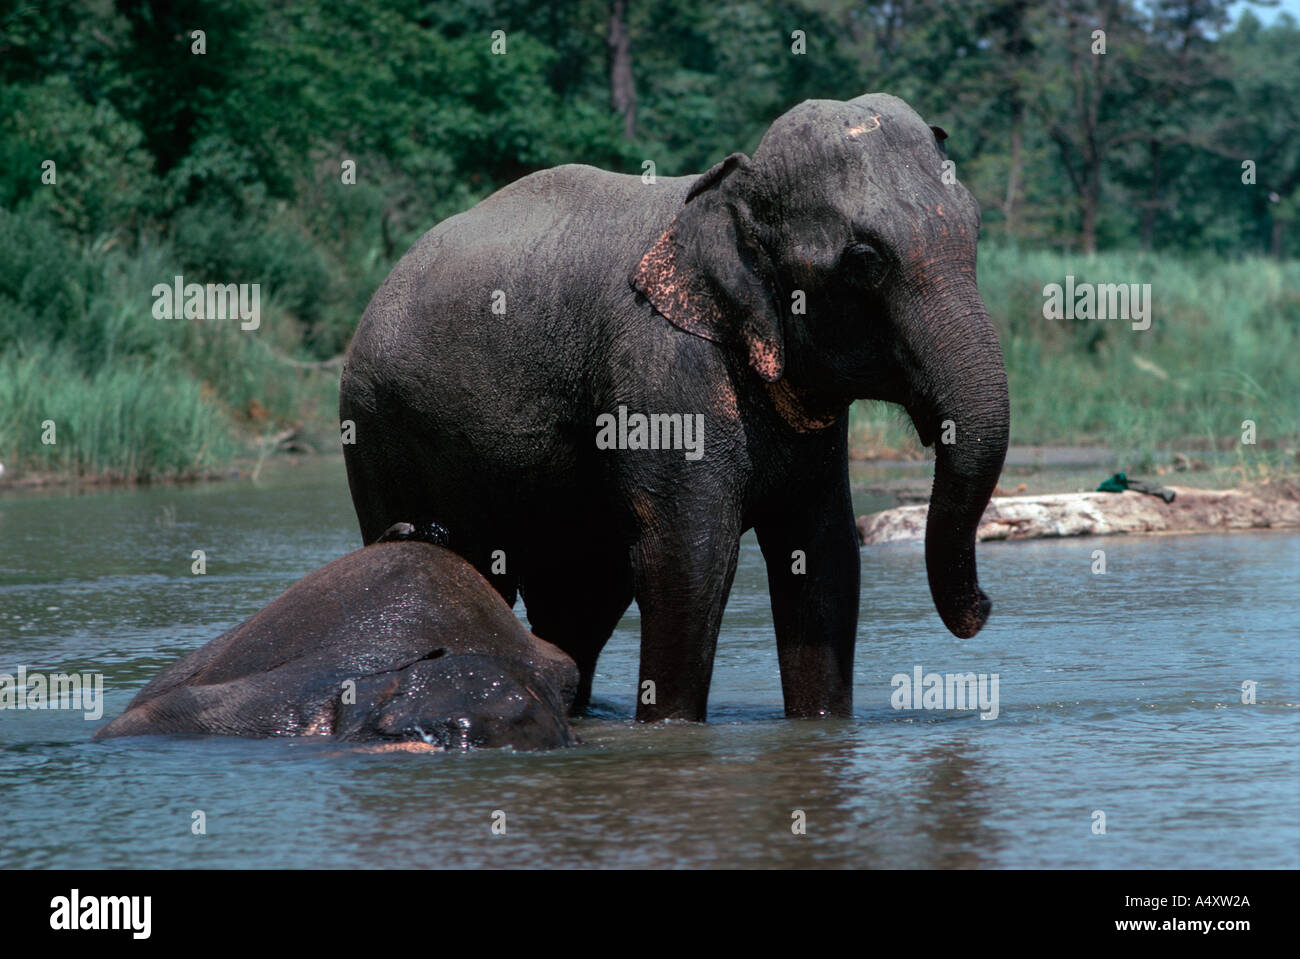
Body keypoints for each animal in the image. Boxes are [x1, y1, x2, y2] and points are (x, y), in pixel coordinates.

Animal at [339, 92, 1010, 723]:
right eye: (864, 261)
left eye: (978, 230)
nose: (984, 608)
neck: (732, 185)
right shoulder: (662, 367)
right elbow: (690, 558)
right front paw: (671, 730)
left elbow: (824, 556)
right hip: (377, 426)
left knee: (580, 598)